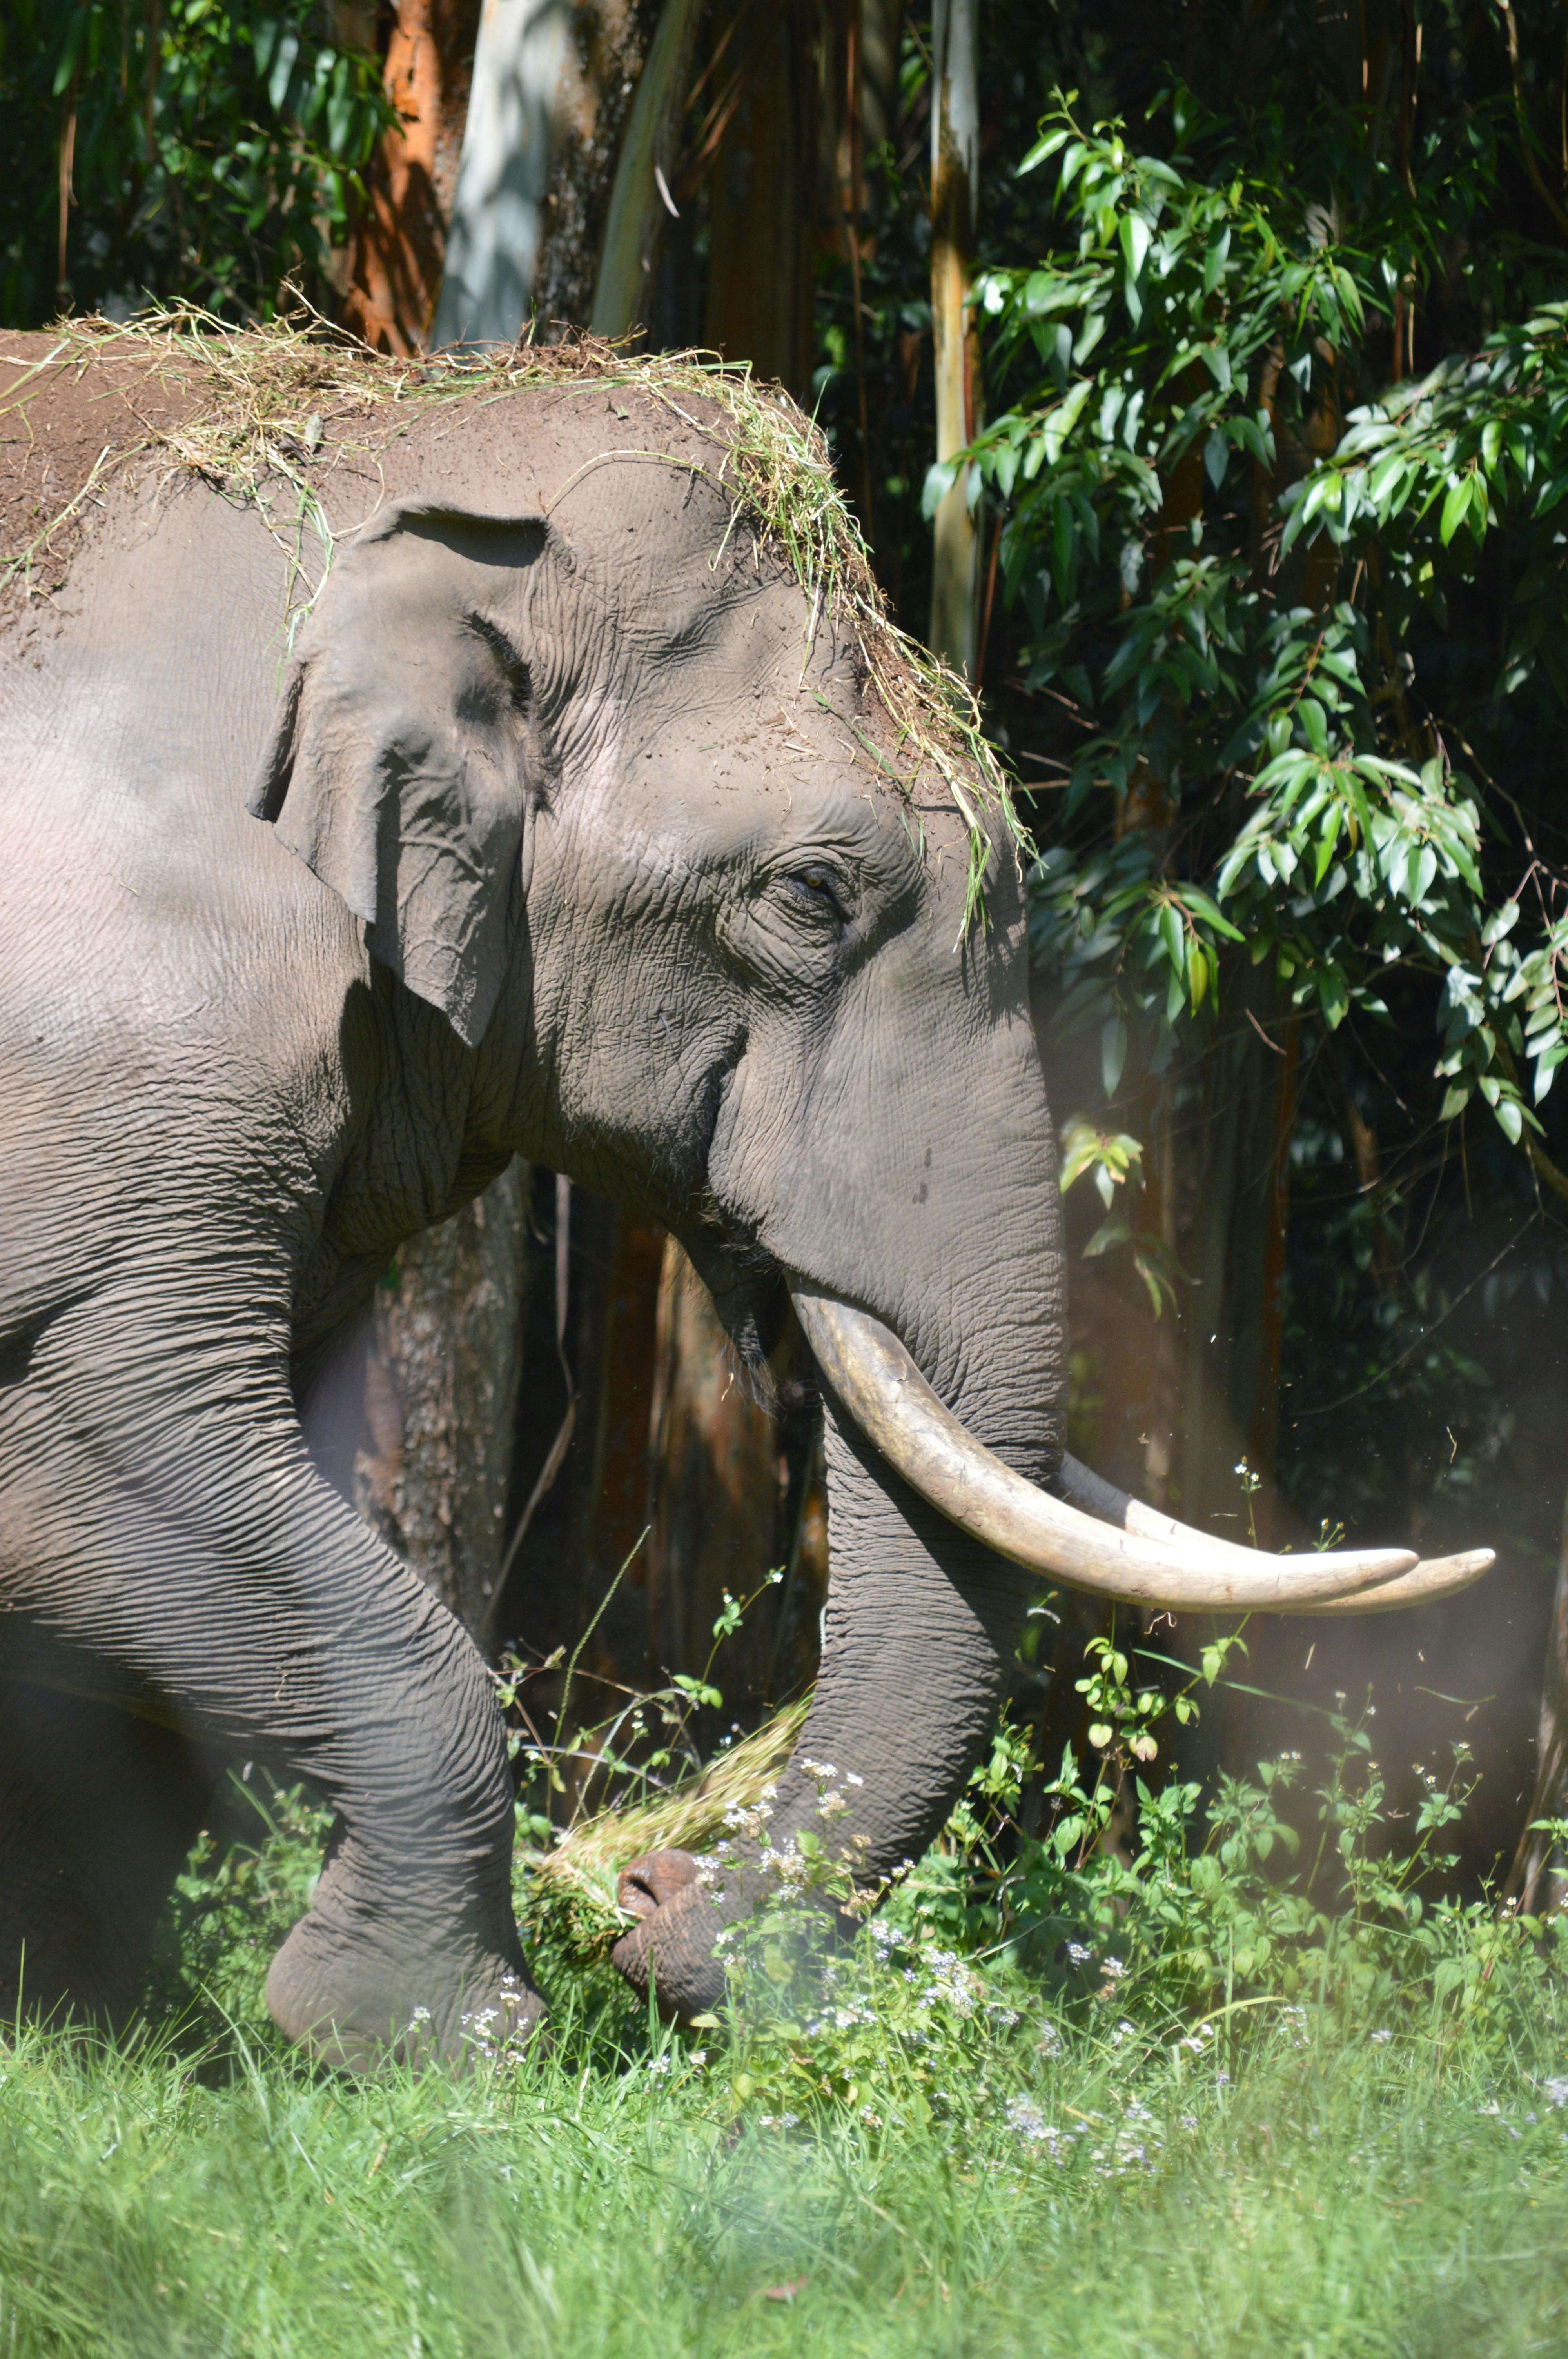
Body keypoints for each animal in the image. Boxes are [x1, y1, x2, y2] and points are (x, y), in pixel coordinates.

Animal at [0, 325, 1493, 2066]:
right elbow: (100, 1457)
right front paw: (431, 2039)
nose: (653, 1899)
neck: (387, 443)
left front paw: (93, 2022)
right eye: (811, 896)